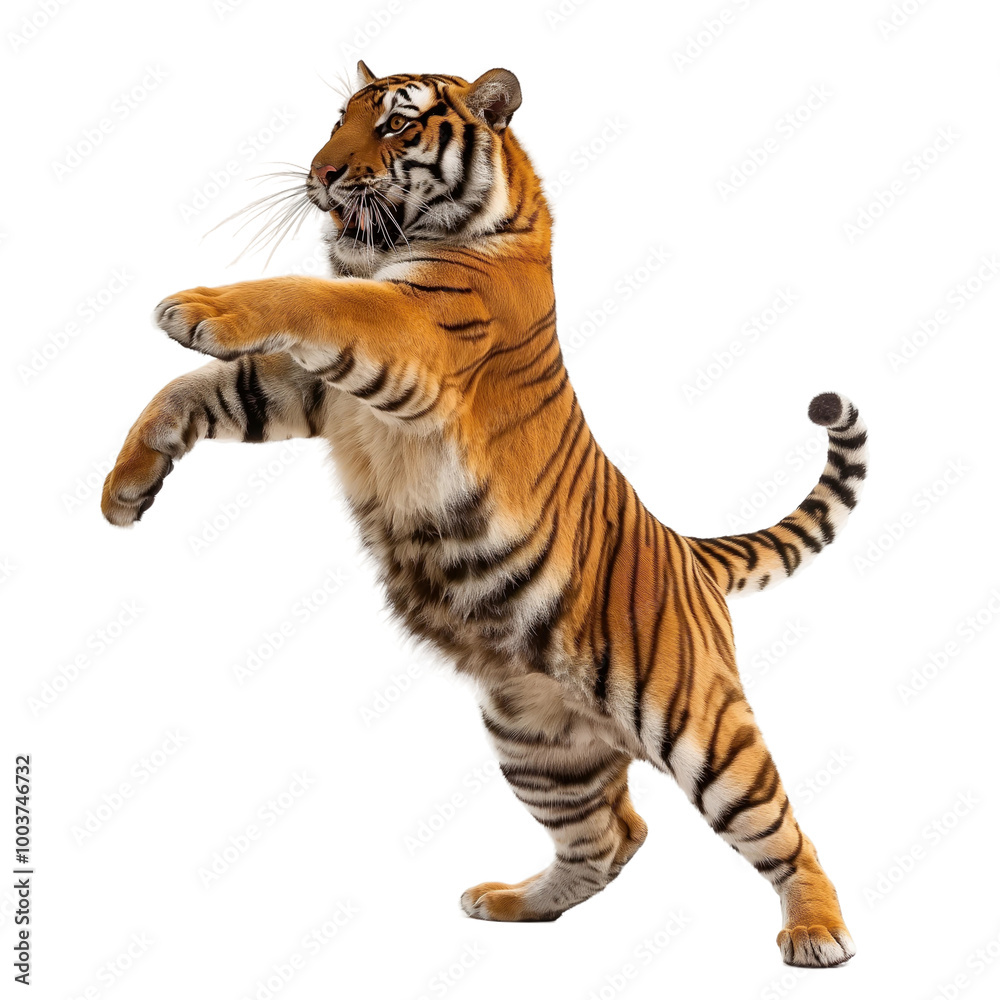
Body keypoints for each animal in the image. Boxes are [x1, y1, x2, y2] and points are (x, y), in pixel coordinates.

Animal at [102, 61, 867, 968]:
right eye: (336, 121)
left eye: (397, 127)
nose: (322, 173)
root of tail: (689, 549)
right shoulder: (312, 389)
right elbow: (191, 390)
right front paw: (124, 490)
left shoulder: (407, 330)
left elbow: (304, 296)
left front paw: (197, 308)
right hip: (537, 739)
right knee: (613, 834)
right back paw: (512, 904)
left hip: (697, 724)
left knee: (780, 826)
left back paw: (817, 932)